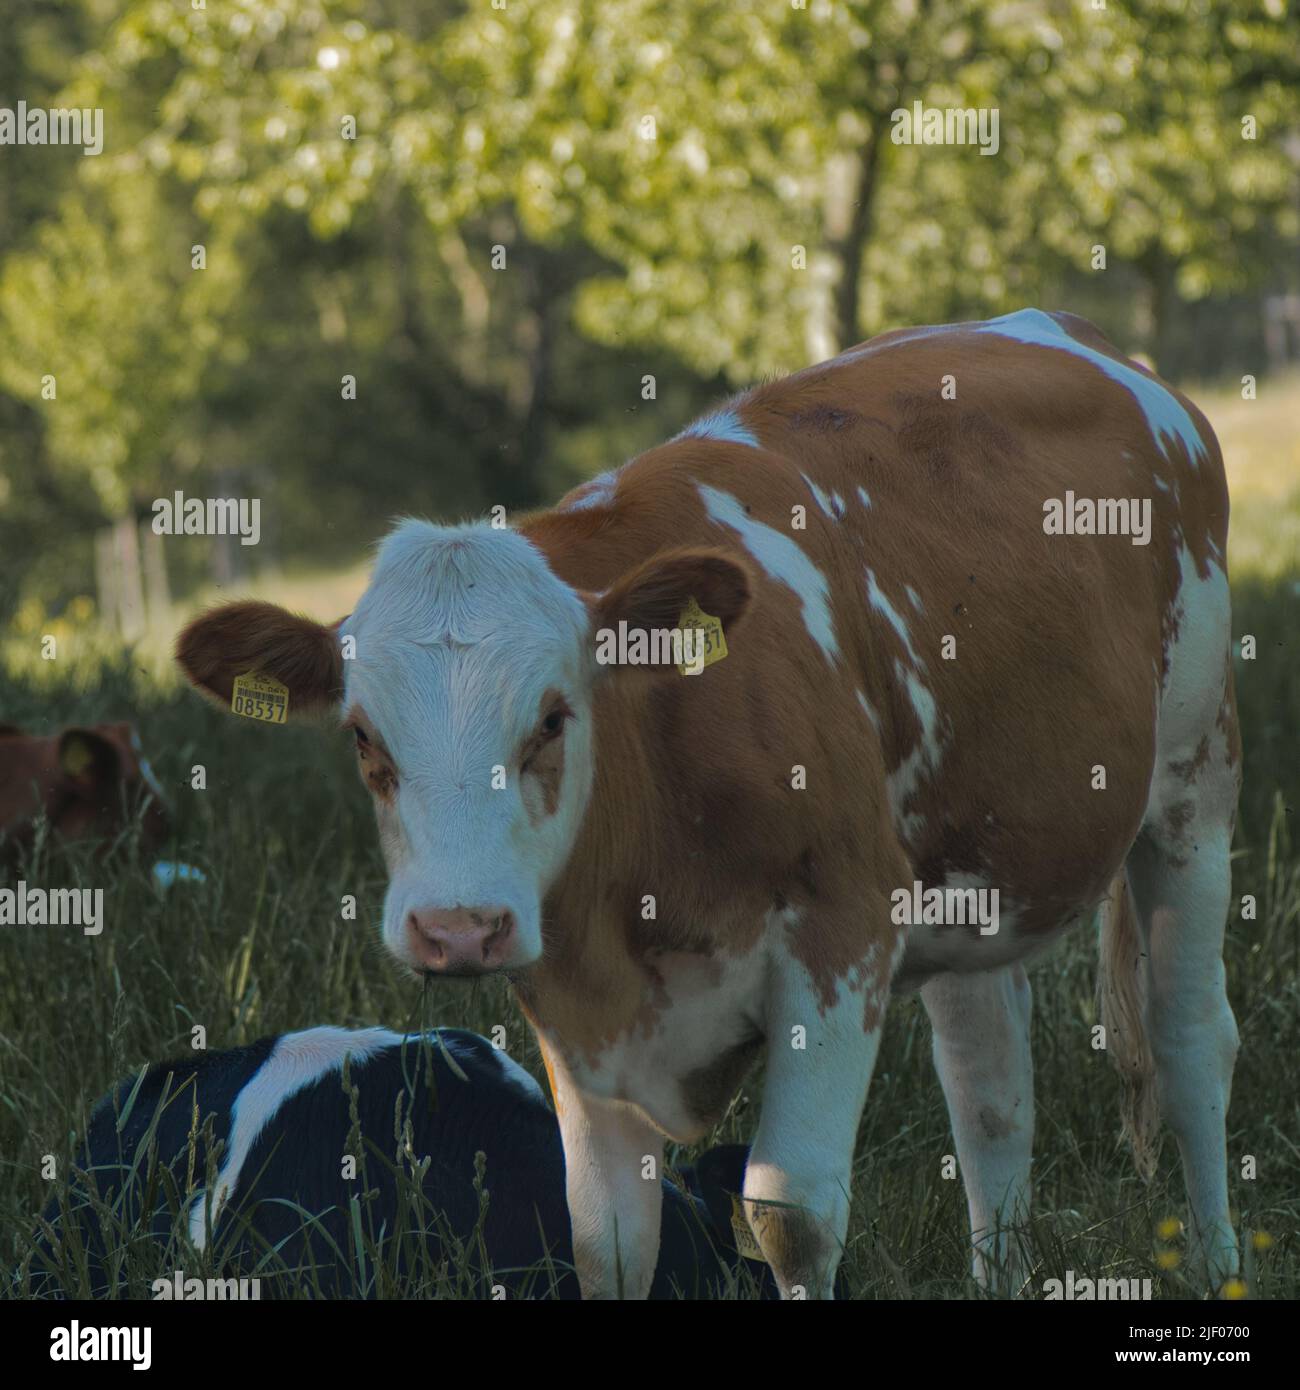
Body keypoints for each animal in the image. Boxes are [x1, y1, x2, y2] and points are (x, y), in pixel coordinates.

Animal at [176, 308, 1242, 1299]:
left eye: (554, 717)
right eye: (362, 737)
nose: (458, 928)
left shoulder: (843, 934)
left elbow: (790, 1215)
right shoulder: (580, 1011)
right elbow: (607, 1243)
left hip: (1195, 782)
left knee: (1191, 1041)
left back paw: (1217, 1259)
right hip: (974, 868)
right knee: (990, 1085)